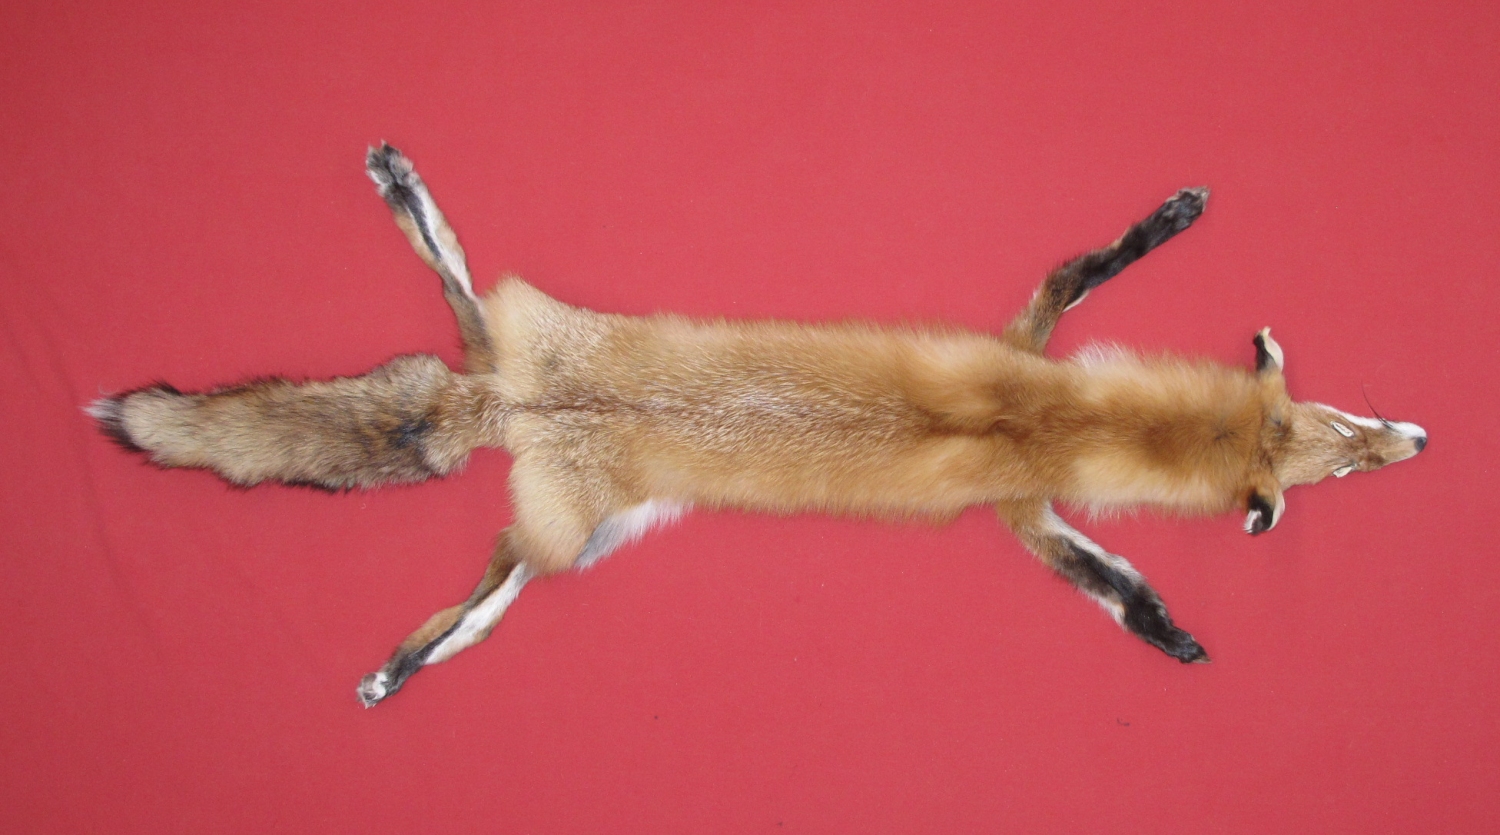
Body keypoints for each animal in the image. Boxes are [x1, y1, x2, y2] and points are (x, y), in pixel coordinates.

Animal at [90, 145, 1428, 707]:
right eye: (1347, 442)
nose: (1415, 442)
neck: (1040, 411)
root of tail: (507, 408)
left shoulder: (1032, 361)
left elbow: (1089, 264)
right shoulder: (1028, 482)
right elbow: (1112, 578)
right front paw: (1173, 634)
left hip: (547, 386)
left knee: (470, 311)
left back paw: (412, 201)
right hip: (565, 532)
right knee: (482, 597)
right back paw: (397, 666)